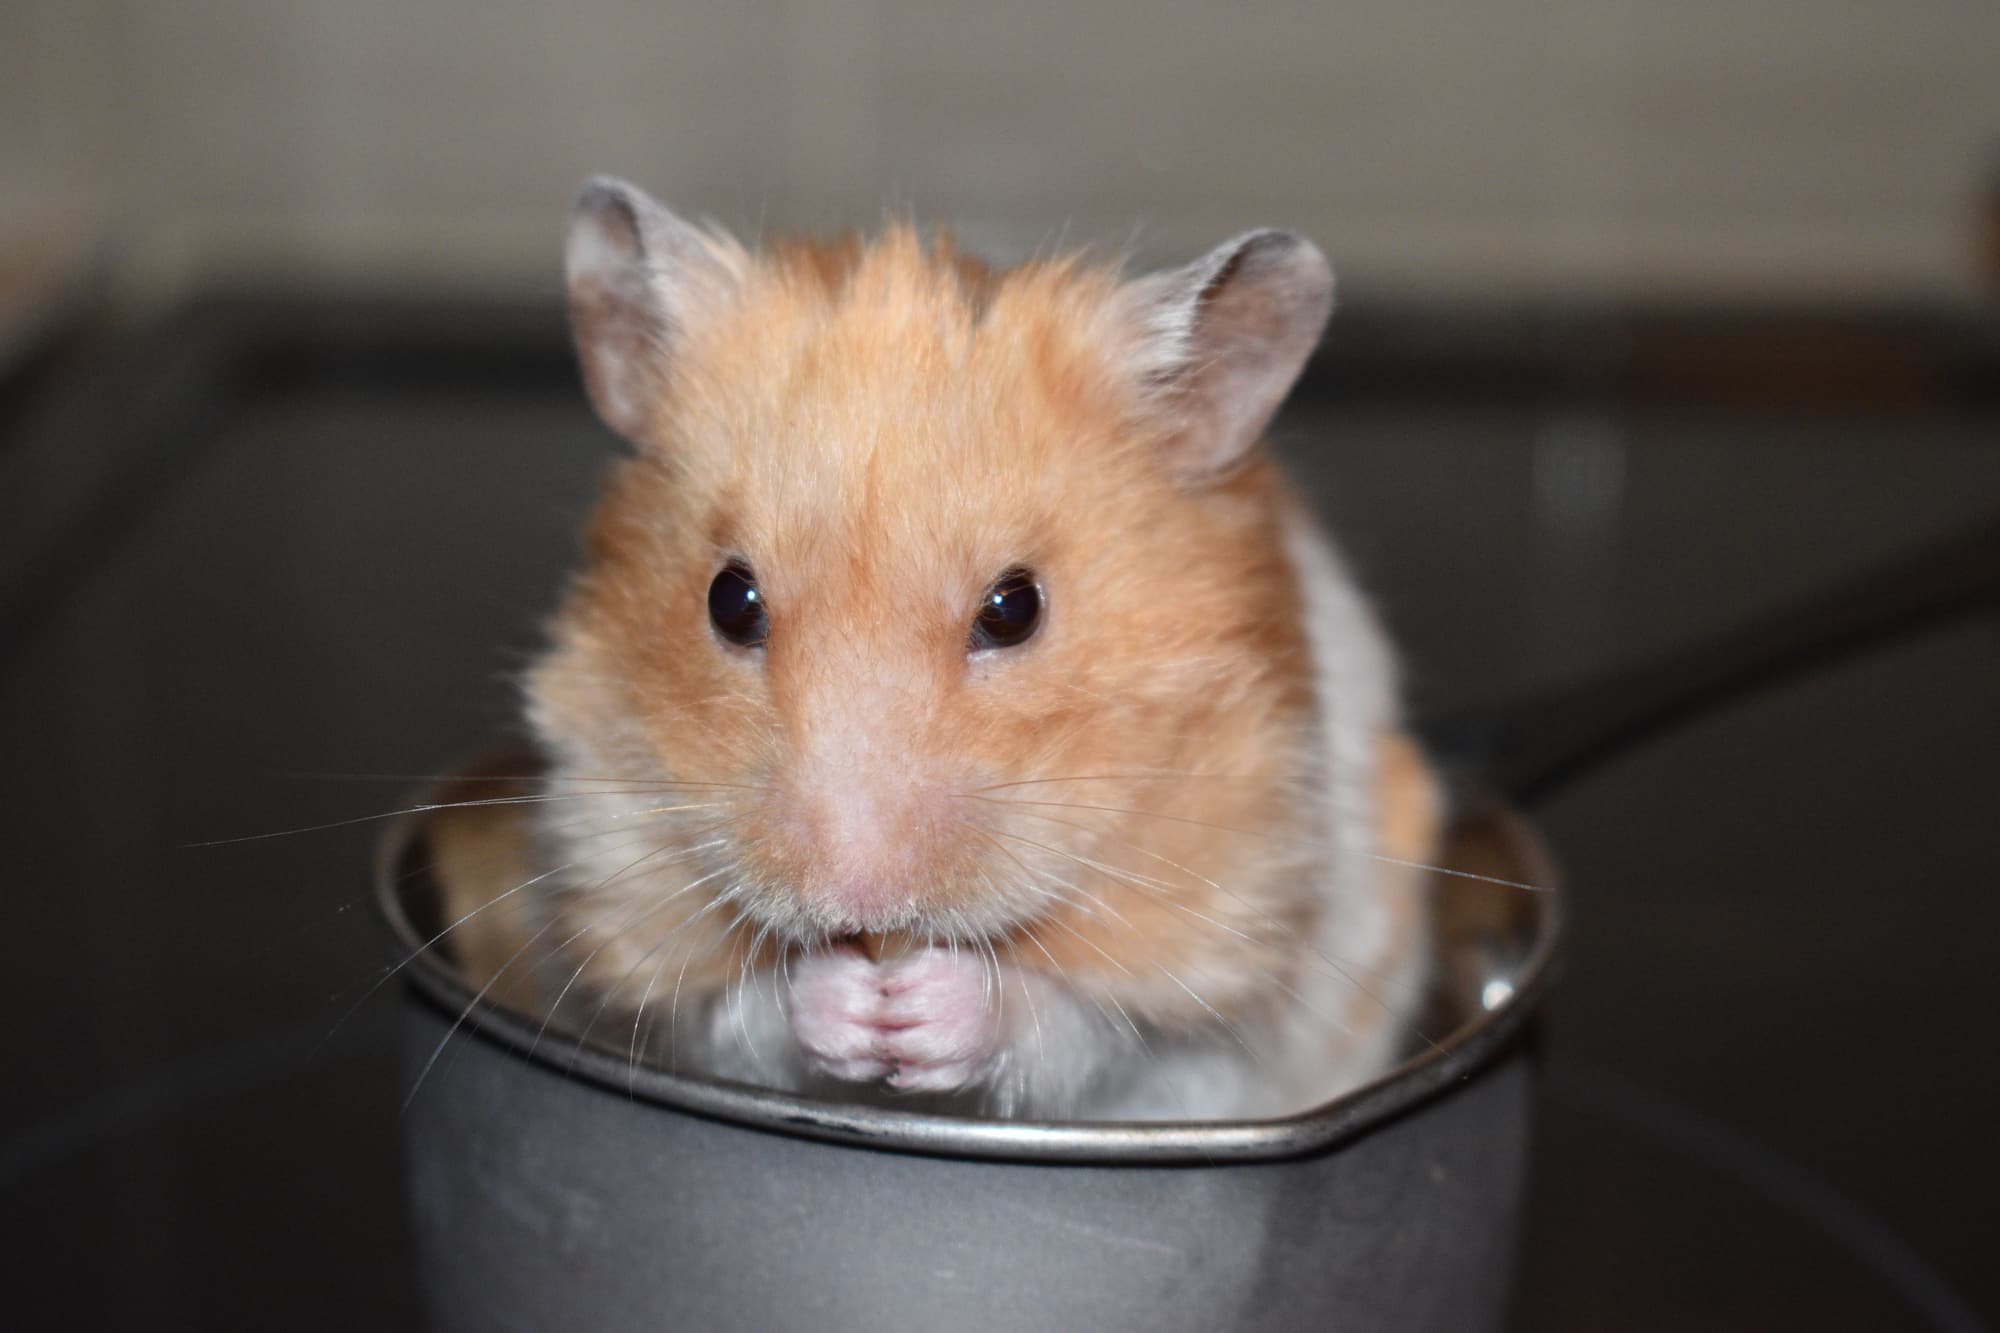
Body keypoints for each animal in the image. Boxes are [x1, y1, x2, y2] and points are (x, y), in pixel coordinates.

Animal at [520, 176, 1437, 1121]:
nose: (855, 899)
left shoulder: (1215, 973)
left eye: (1015, 609)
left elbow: (1077, 1024)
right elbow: (741, 1010)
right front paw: (843, 998)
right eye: (729, 601)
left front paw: (929, 1011)